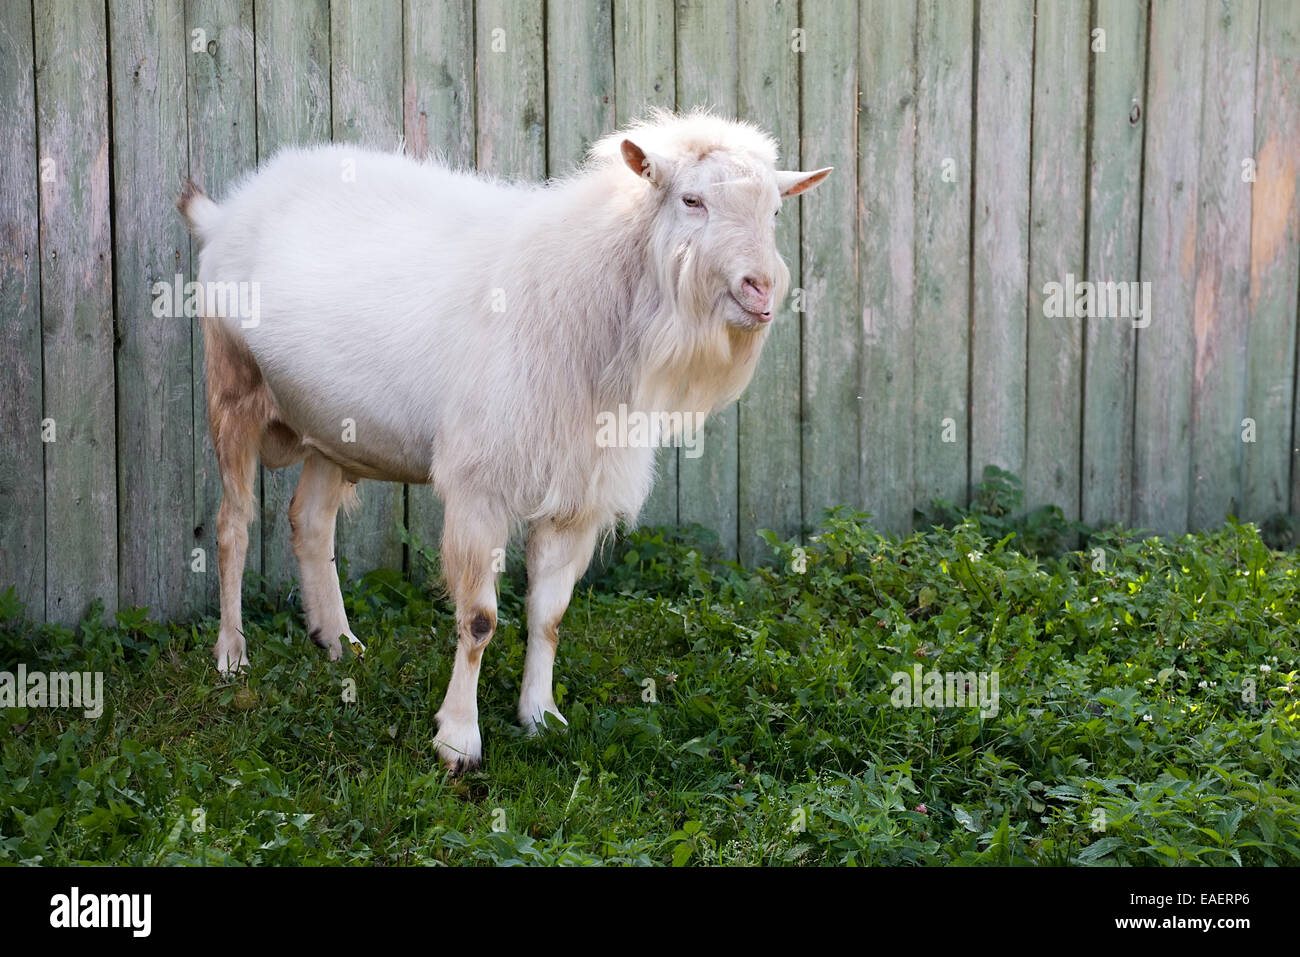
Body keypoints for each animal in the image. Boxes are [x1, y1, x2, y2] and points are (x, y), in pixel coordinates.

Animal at [179, 110, 830, 771]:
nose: (759, 290)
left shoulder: (575, 498)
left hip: (335, 428)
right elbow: (479, 619)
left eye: (776, 209)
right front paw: (458, 739)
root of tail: (227, 212)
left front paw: (540, 717)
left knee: (310, 521)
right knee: (232, 525)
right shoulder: (479, 491)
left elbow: (549, 617)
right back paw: (232, 654)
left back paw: (338, 641)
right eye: (691, 200)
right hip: (231, 385)